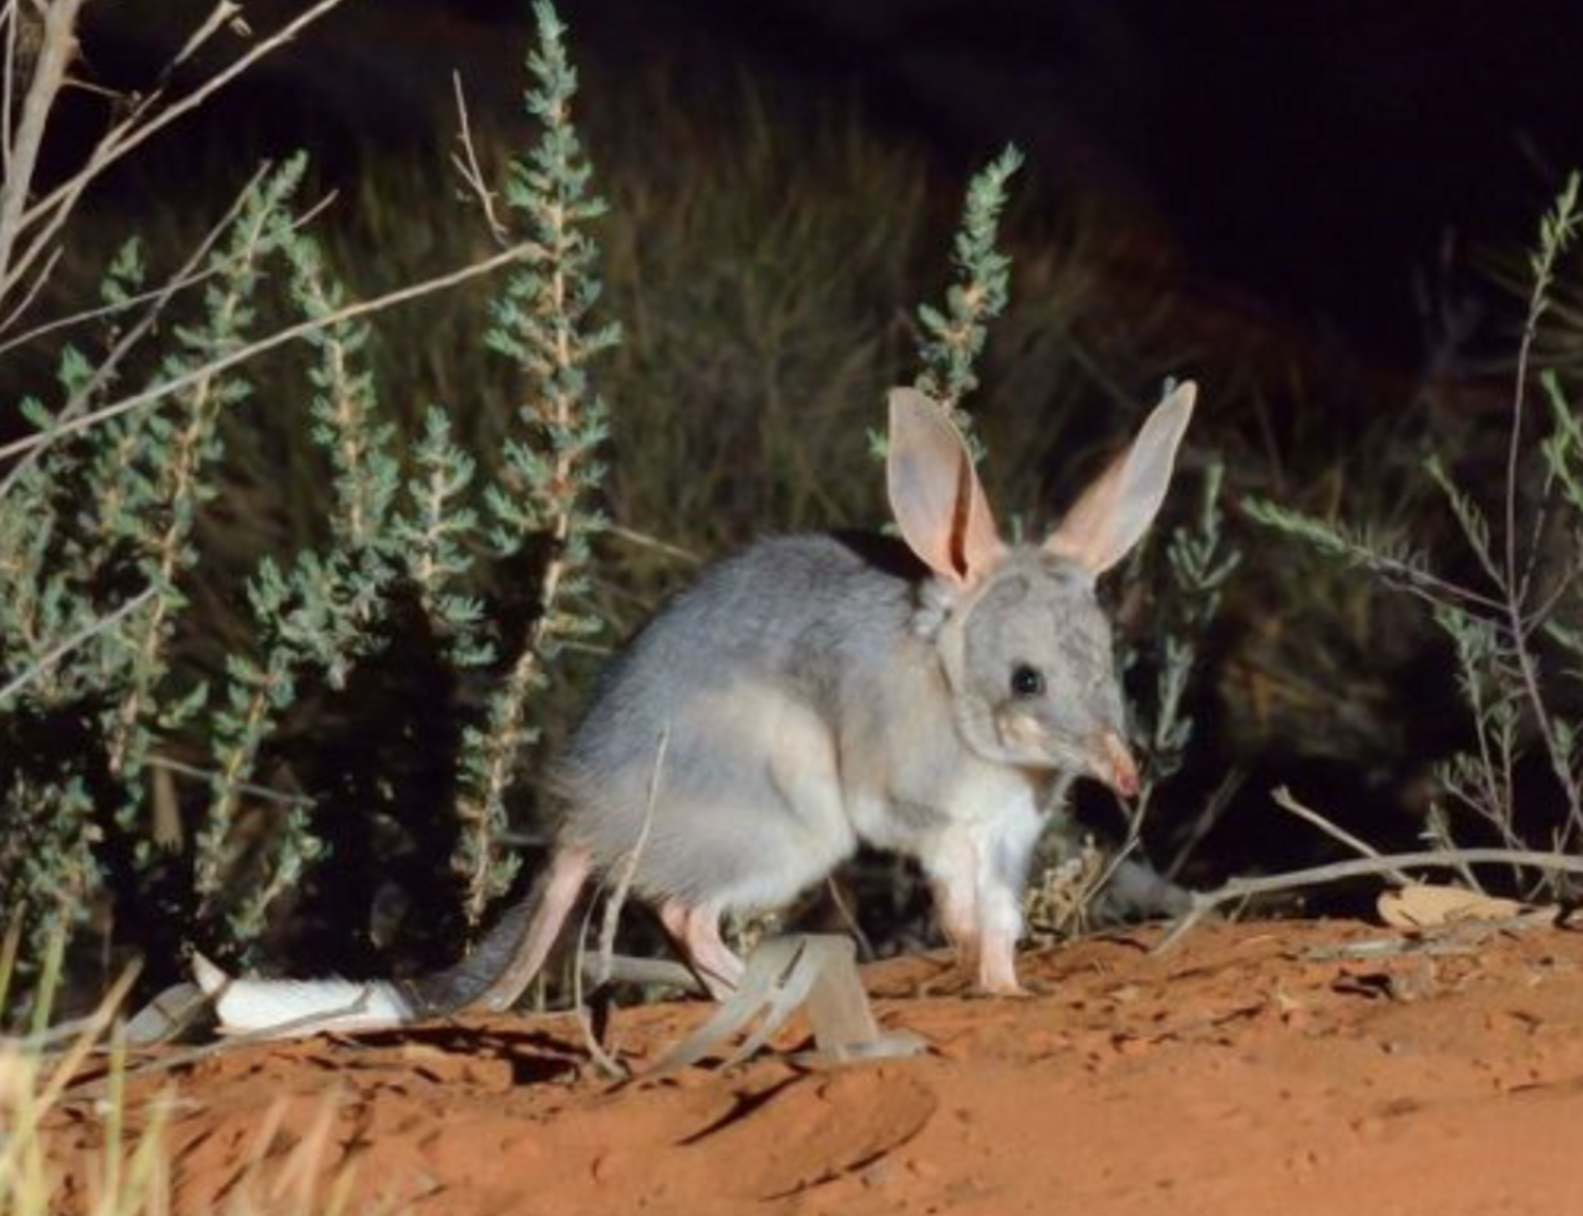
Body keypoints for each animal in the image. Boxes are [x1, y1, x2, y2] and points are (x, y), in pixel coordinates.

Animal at [204, 381, 1196, 1035]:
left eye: (1109, 662)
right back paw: (763, 1001)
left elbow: (1001, 918)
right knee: (685, 916)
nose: (1125, 775)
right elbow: (953, 883)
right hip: (789, 824)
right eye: (1026, 680)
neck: (955, 690)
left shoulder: (1009, 834)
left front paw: (1004, 989)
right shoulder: (914, 806)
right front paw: (968, 956)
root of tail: (582, 823)